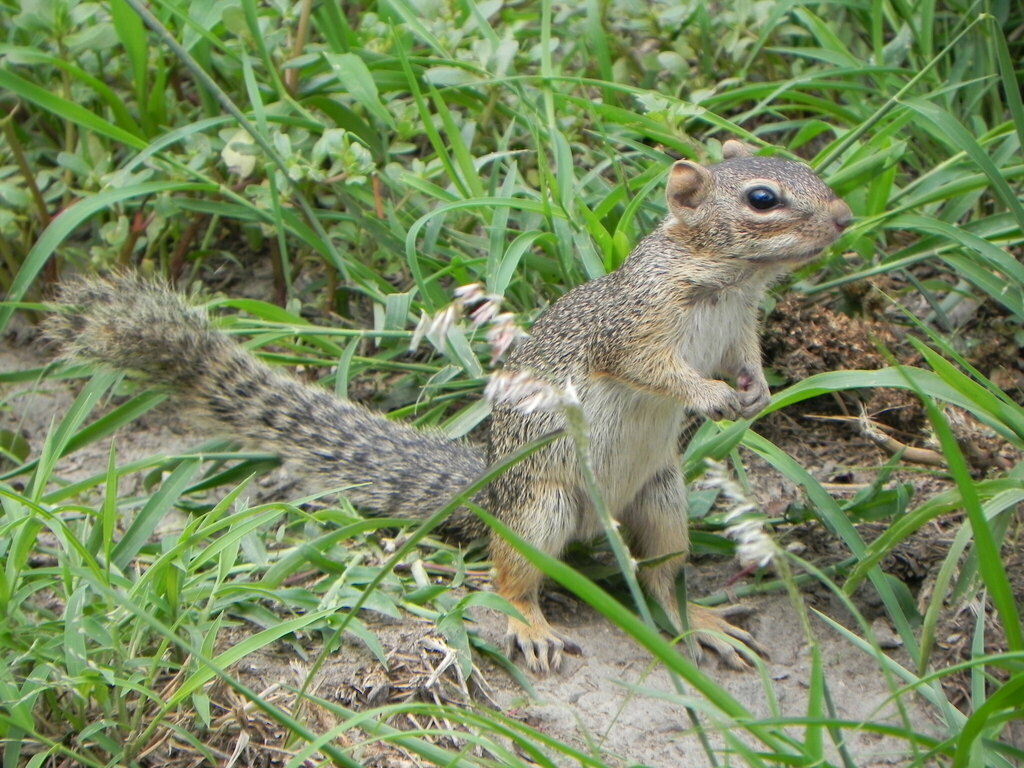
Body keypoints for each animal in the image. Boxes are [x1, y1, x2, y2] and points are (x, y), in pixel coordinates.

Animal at [45, 139, 852, 674]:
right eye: (761, 199)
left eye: (809, 169)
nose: (844, 218)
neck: (721, 279)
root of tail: (490, 492)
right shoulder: (634, 330)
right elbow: (657, 372)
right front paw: (710, 396)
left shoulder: (739, 327)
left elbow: (747, 359)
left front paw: (757, 392)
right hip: (542, 508)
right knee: (510, 577)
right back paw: (529, 623)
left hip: (661, 501)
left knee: (658, 578)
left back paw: (701, 621)